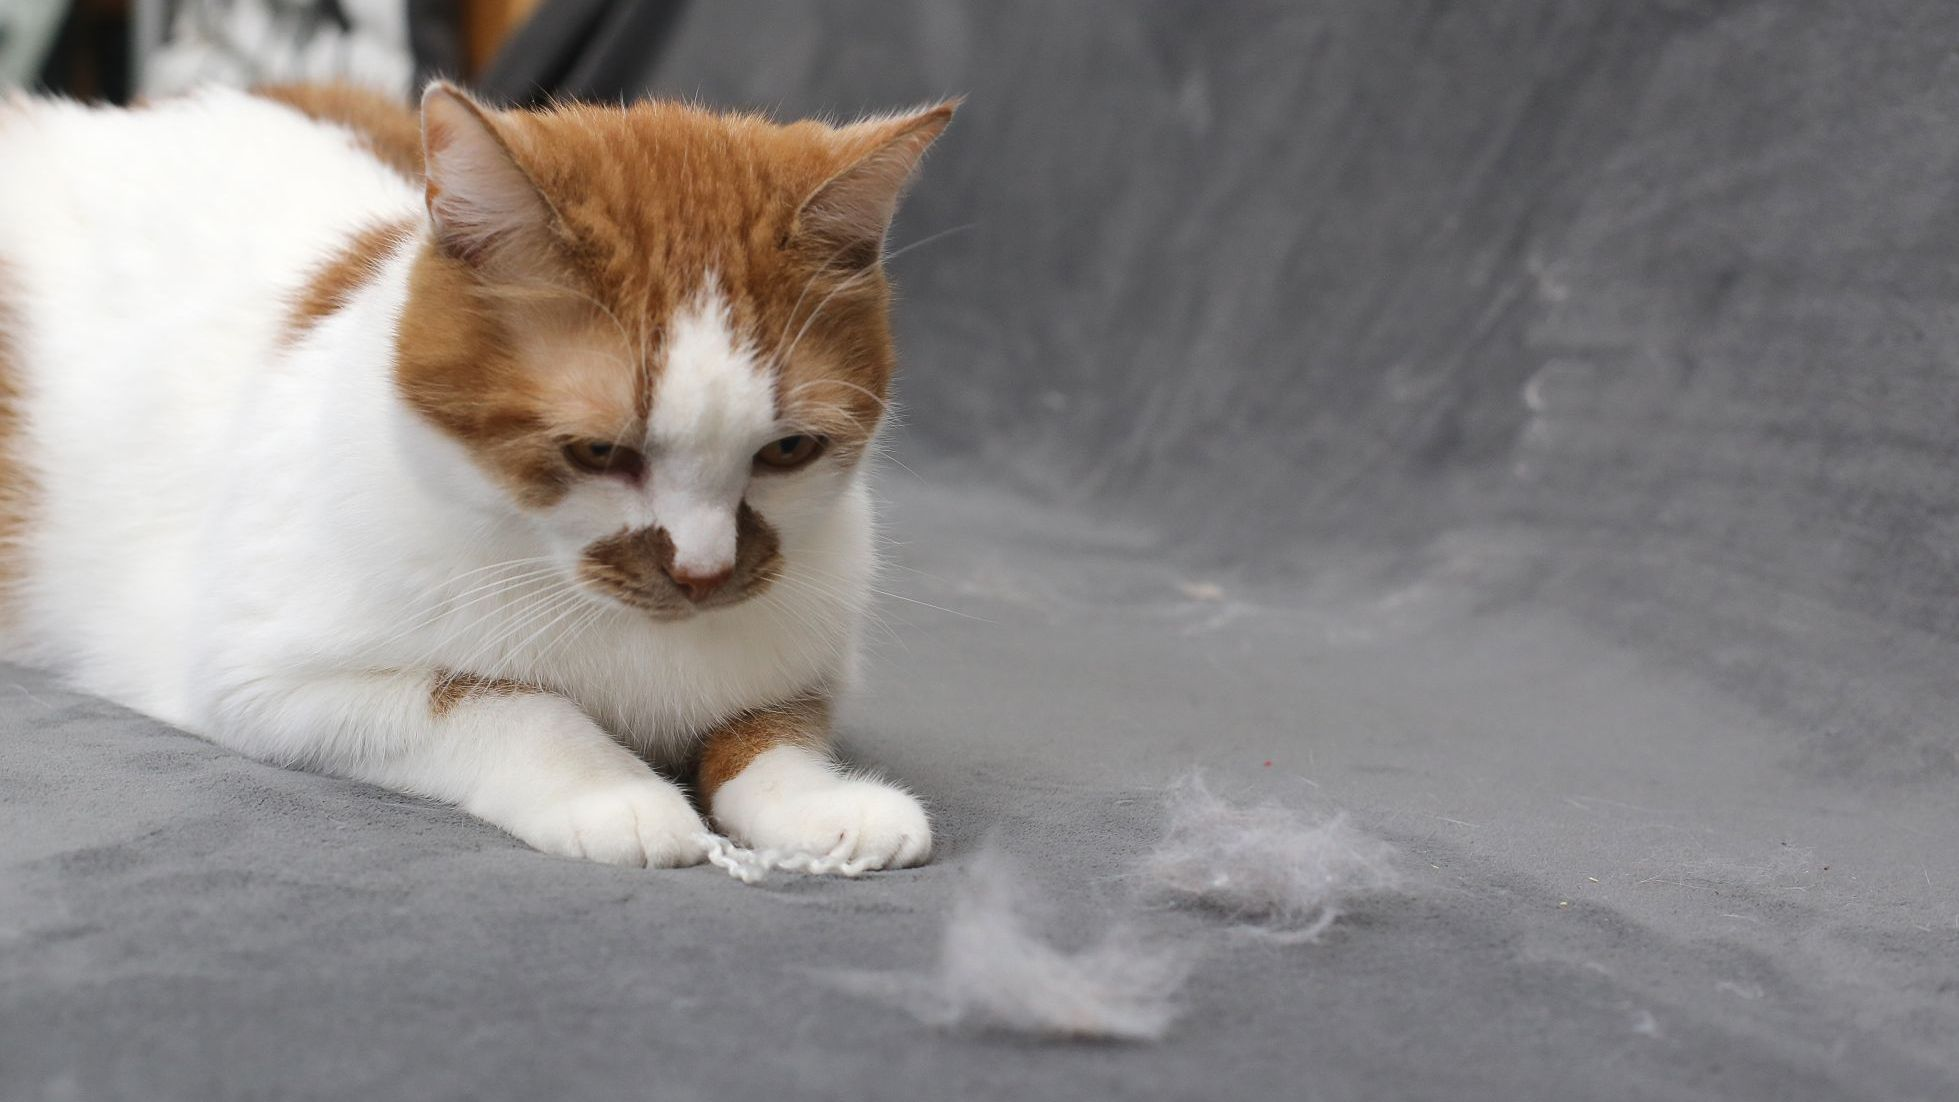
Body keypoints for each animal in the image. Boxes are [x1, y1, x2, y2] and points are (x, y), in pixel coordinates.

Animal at [0, 79, 955, 872]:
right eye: (598, 453)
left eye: (786, 451)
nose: (703, 572)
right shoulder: (269, 680)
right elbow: (503, 704)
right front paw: (612, 791)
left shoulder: (801, 659)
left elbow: (773, 729)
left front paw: (814, 798)